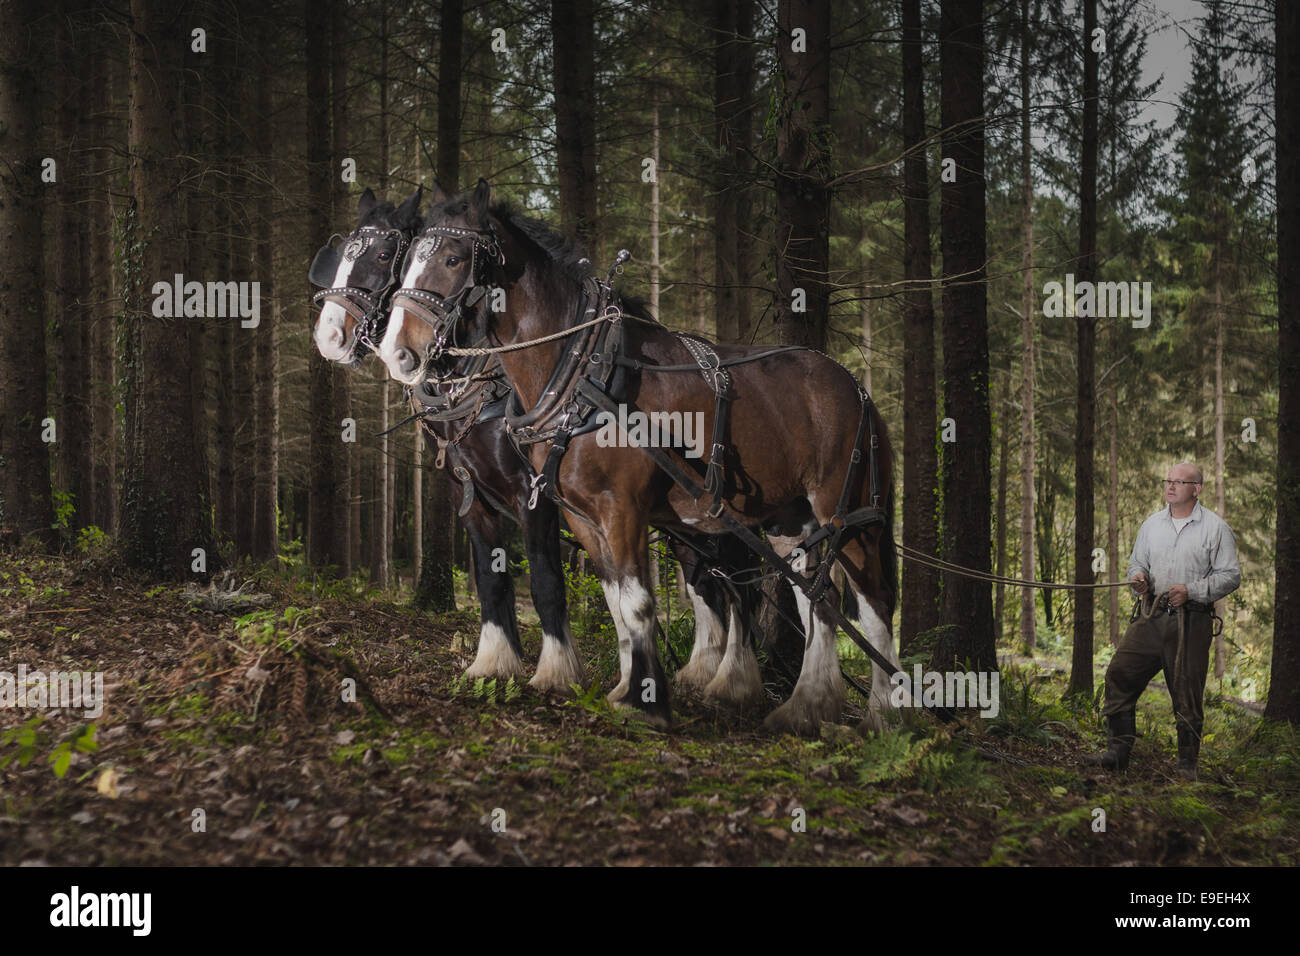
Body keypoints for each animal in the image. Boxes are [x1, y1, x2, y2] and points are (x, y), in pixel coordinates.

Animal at [377, 180, 902, 735]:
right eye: (405, 260)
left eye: (454, 258)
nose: (397, 352)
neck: (583, 367)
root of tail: (856, 388)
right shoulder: (582, 515)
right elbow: (617, 605)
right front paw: (628, 687)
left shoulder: (620, 508)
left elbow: (638, 603)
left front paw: (646, 701)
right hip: (791, 521)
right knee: (818, 603)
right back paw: (806, 707)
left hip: (849, 514)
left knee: (873, 607)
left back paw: (884, 713)